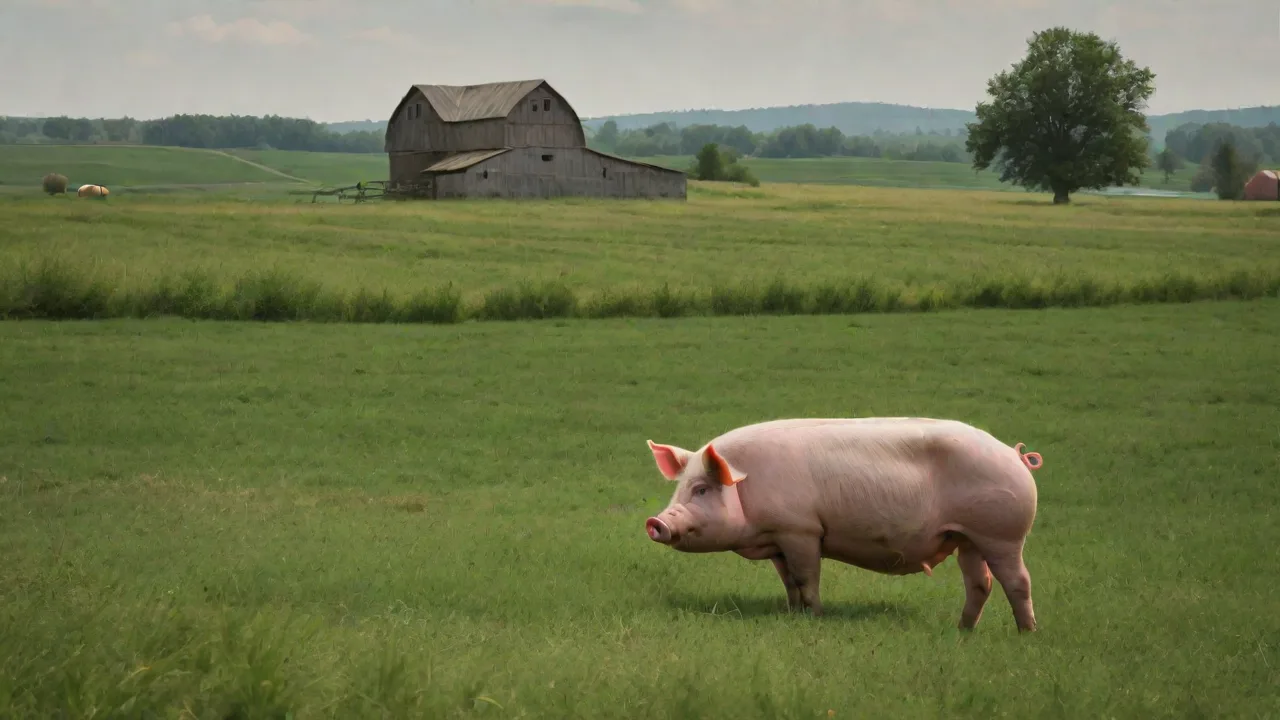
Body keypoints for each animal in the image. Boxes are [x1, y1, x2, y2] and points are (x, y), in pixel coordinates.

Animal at [643, 417, 1044, 632]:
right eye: (680, 488)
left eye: (702, 489)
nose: (656, 521)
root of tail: (1015, 455)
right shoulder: (777, 540)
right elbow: (788, 582)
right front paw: (792, 614)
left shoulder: (801, 530)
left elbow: (806, 578)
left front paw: (816, 617)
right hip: (967, 538)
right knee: (980, 583)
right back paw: (962, 631)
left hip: (1002, 533)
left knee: (1018, 581)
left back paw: (1026, 634)